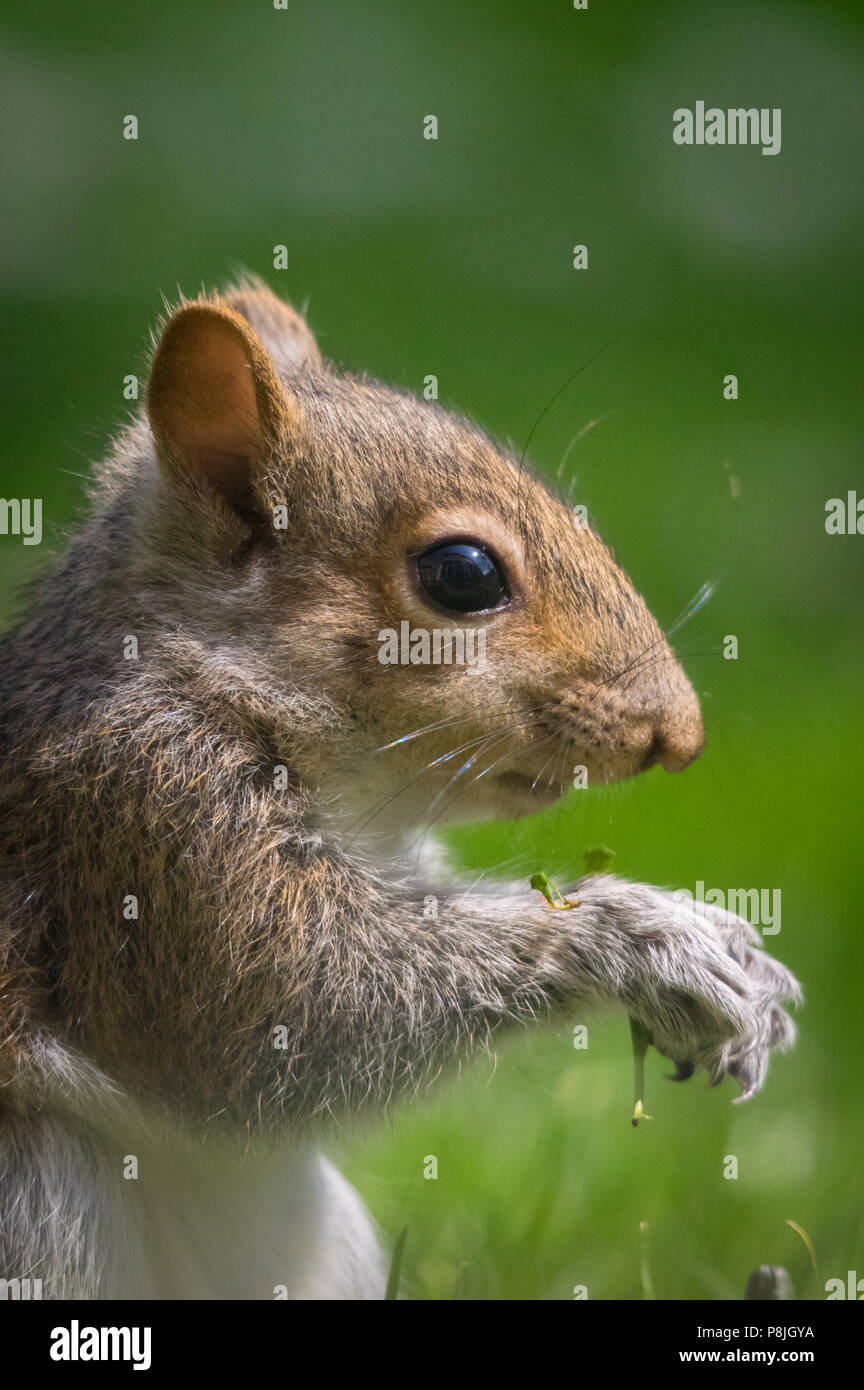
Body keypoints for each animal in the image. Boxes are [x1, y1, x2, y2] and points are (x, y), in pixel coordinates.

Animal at [0, 277, 800, 1299]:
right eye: (462, 574)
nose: (680, 736)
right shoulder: (146, 820)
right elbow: (285, 1006)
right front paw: (652, 936)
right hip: (40, 1205)